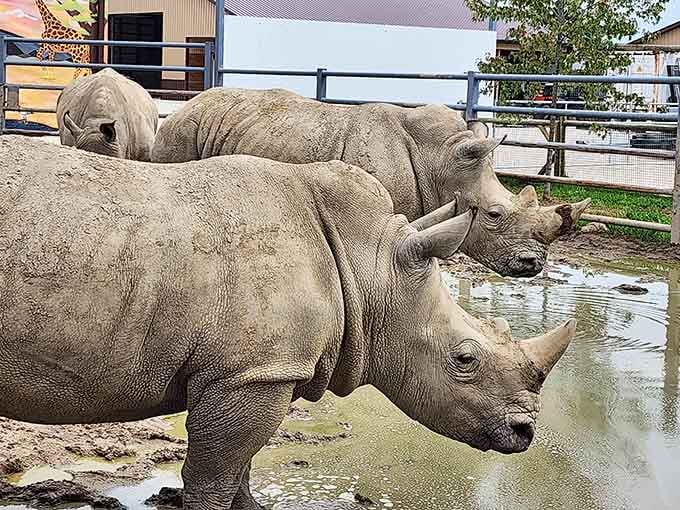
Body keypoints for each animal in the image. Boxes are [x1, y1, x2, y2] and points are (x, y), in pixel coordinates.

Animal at [0, 136, 576, 510]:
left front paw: (254, 507)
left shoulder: (259, 373)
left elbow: (239, 469)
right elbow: (212, 477)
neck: (372, 269)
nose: (525, 432)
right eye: (464, 358)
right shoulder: (251, 374)